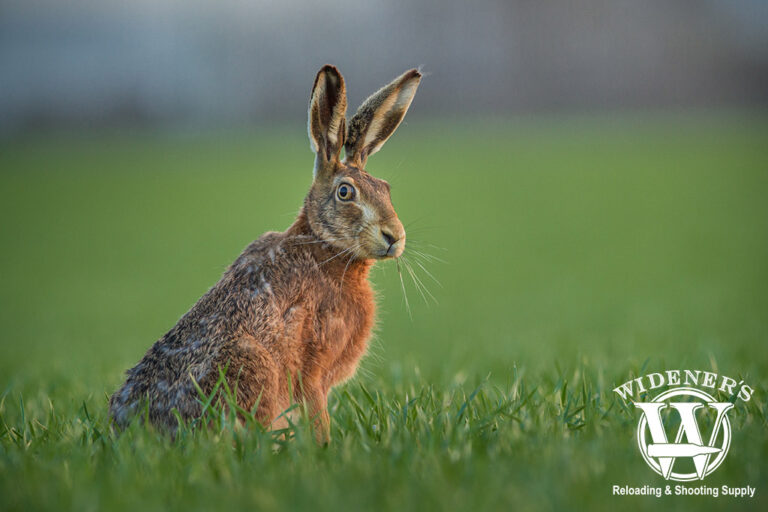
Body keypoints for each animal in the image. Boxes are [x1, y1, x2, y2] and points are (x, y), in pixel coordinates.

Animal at [109, 65, 422, 442]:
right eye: (346, 192)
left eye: (385, 189)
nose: (395, 236)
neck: (325, 248)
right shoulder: (311, 369)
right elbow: (317, 413)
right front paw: (324, 446)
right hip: (251, 366)